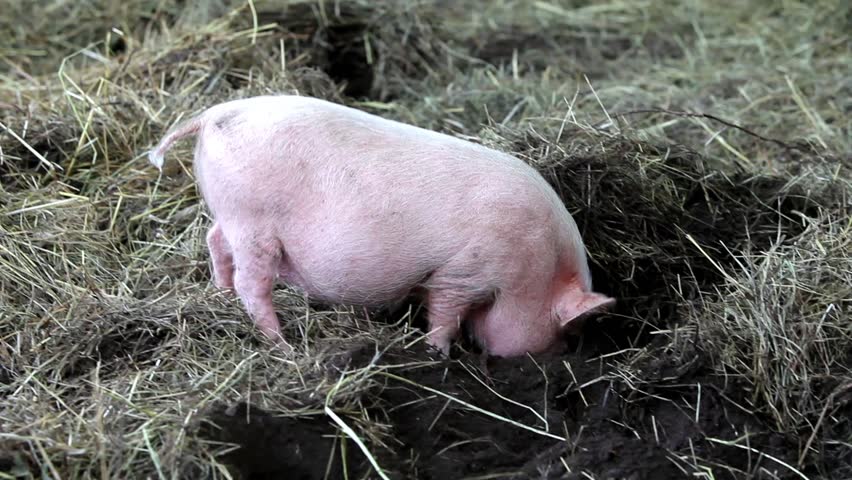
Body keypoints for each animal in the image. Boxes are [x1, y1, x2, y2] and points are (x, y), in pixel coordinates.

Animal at [148, 95, 615, 357]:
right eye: (565, 332)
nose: (560, 359)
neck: (537, 267)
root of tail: (216, 113)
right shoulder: (464, 270)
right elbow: (444, 315)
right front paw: (437, 354)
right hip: (253, 221)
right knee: (252, 284)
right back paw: (284, 347)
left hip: (232, 215)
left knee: (214, 240)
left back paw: (219, 297)